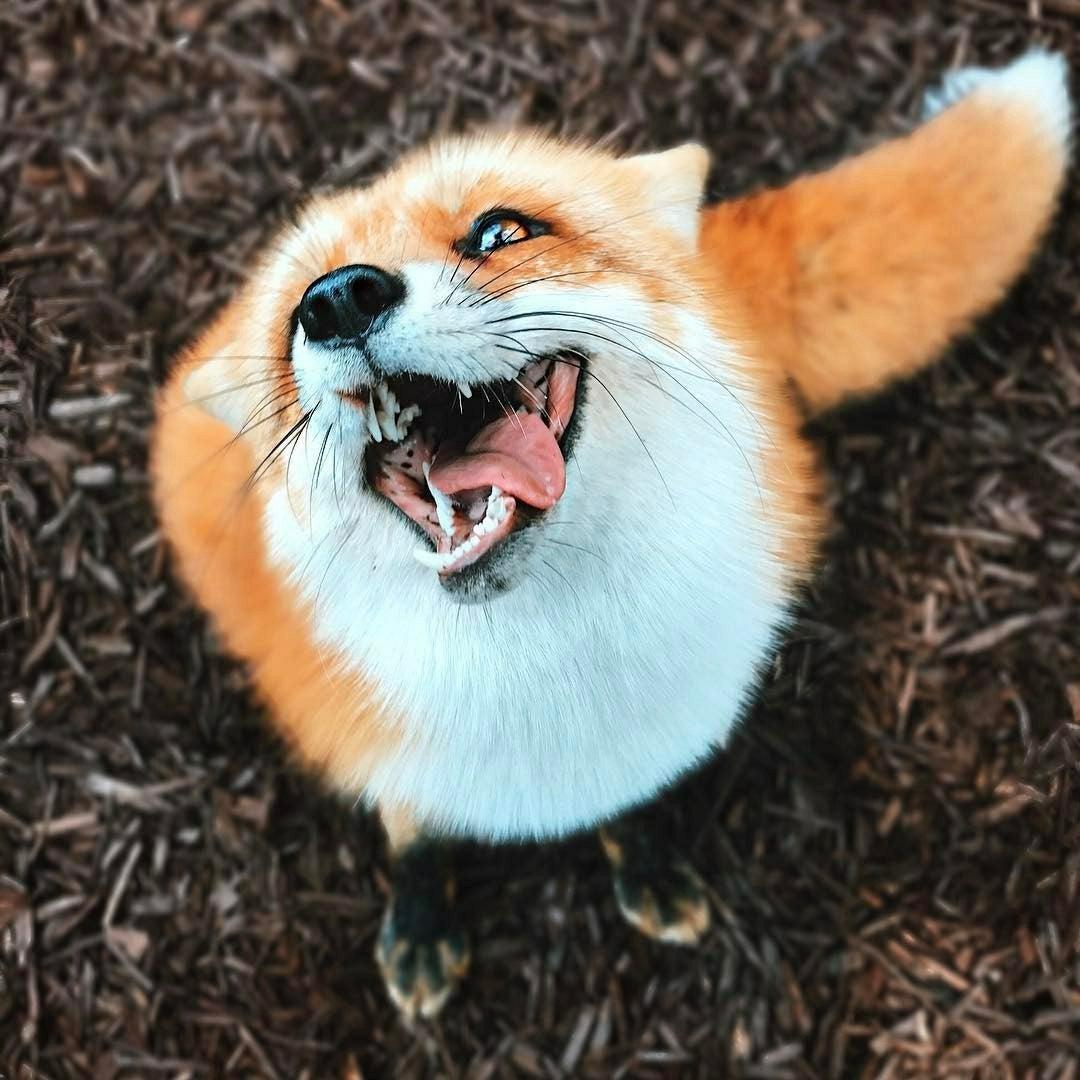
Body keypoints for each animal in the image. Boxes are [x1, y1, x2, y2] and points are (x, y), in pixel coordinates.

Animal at [151, 51, 1072, 1019]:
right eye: (292, 319)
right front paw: (420, 929)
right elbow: (415, 841)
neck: (549, 677)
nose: (336, 299)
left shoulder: (648, 738)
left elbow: (630, 816)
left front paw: (647, 869)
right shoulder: (386, 752)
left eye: (499, 231)